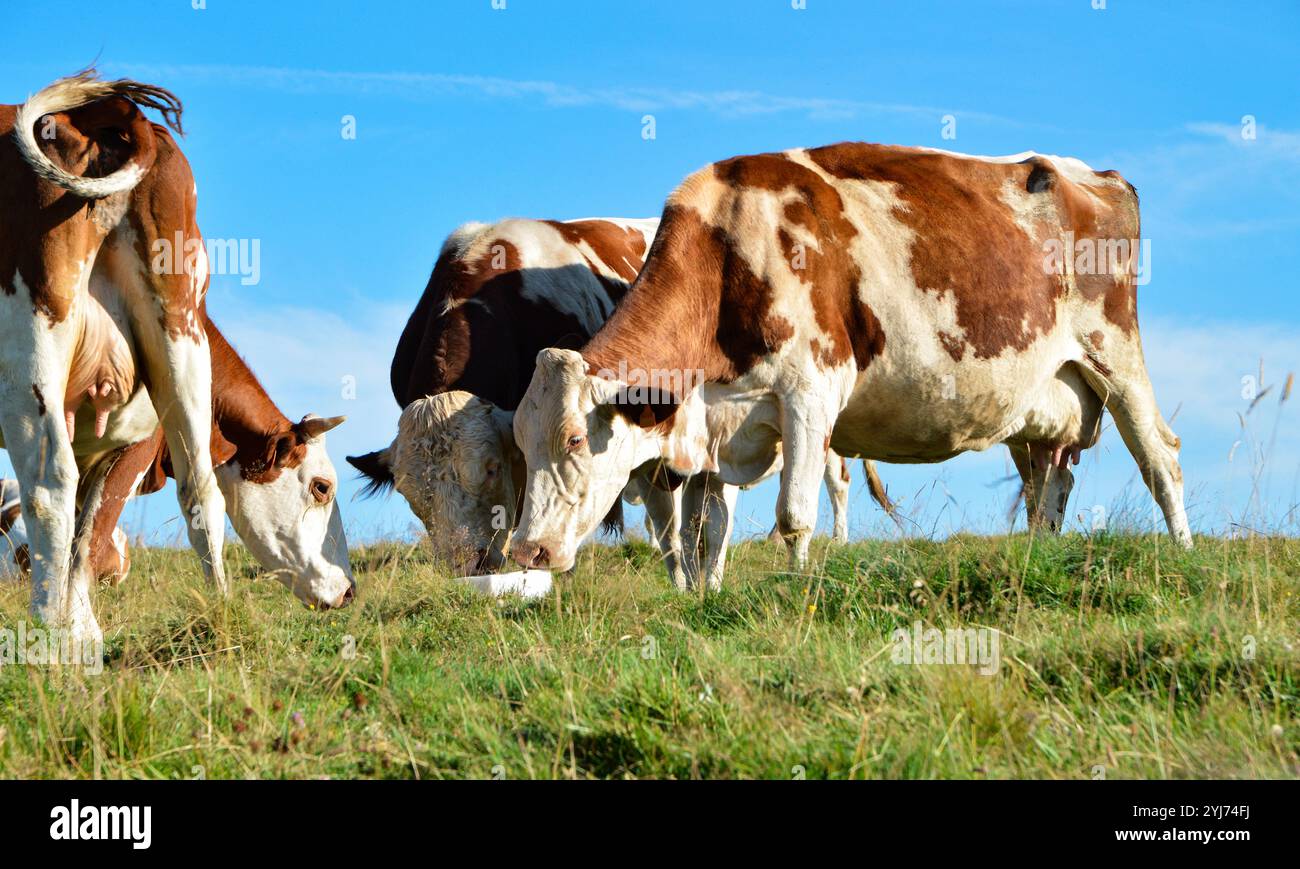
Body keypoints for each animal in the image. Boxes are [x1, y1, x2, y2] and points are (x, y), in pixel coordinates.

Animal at [507, 143, 1191, 584]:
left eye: (575, 438)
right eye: (522, 441)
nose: (527, 552)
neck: (730, 255)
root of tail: (1094, 173)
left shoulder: (810, 392)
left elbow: (792, 515)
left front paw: (796, 592)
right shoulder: (713, 420)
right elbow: (706, 529)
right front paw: (706, 600)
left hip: (1114, 351)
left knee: (1160, 457)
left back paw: (1183, 553)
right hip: (1037, 402)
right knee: (1045, 485)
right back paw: (1035, 556)